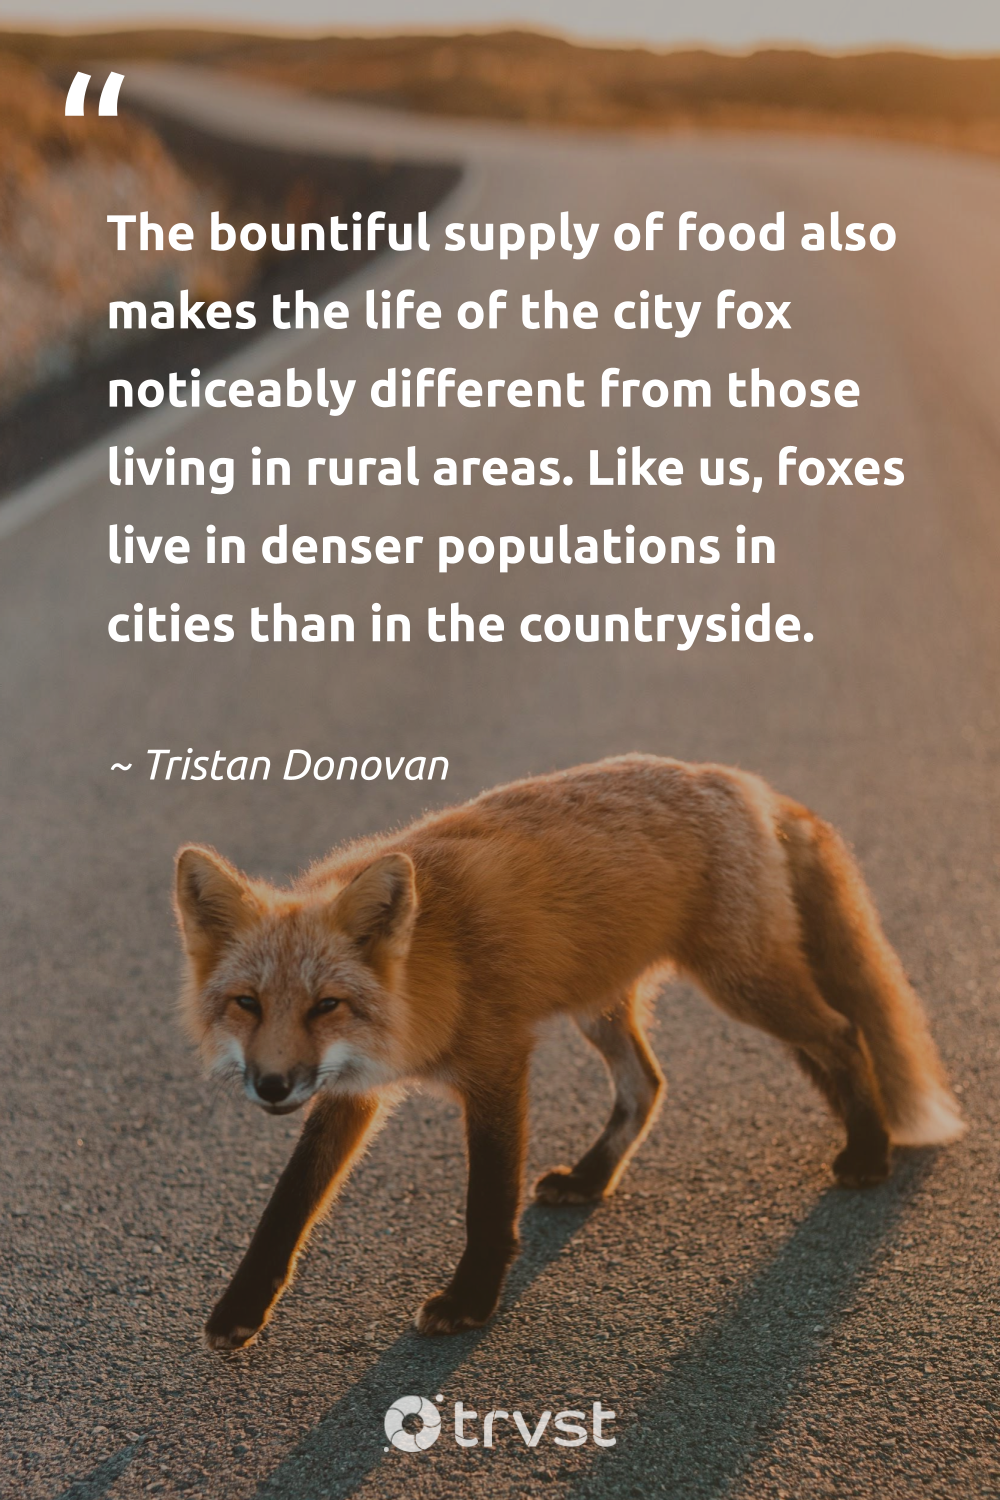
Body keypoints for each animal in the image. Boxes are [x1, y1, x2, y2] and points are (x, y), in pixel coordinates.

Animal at [173, 754, 964, 1350]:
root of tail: (738, 778)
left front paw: (471, 1301)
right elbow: (286, 1205)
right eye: (248, 1004)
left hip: (742, 985)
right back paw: (590, 1178)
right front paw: (241, 1311)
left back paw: (870, 1149)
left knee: (843, 1032)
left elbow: (487, 1202)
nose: (272, 1085)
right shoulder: (353, 1087)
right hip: (603, 1008)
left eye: (325, 1005)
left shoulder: (496, 1064)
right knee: (649, 1085)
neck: (432, 966)